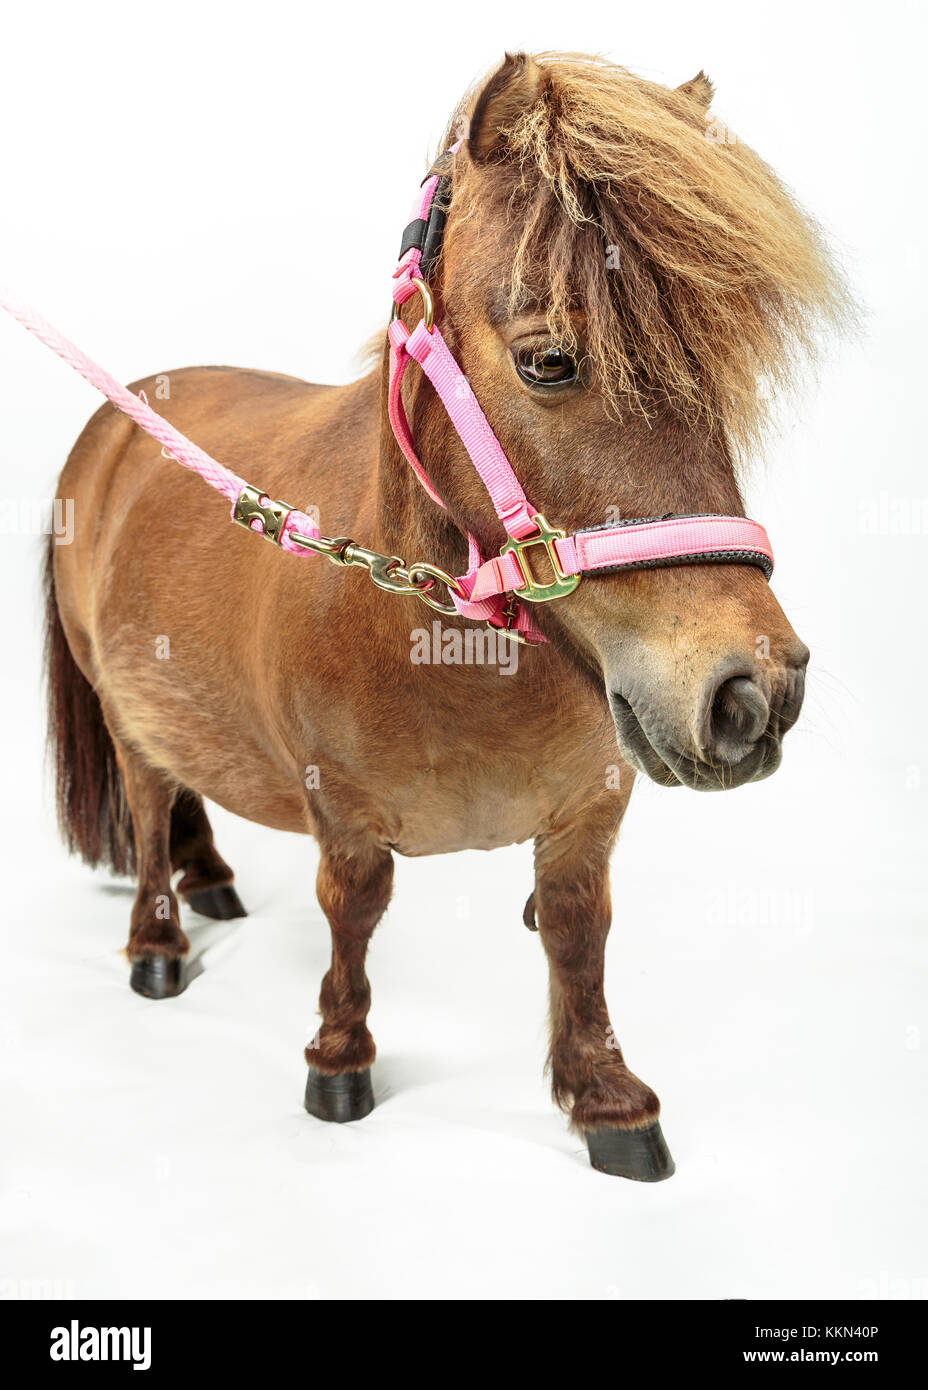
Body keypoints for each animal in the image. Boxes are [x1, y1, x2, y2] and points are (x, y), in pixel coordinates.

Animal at [43, 52, 847, 1180]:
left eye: (720, 374)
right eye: (550, 360)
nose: (752, 692)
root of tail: (116, 427)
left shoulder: (591, 811)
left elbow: (577, 931)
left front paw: (605, 1098)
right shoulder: (339, 812)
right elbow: (354, 911)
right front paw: (339, 1060)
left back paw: (210, 880)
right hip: (119, 708)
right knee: (152, 798)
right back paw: (160, 941)